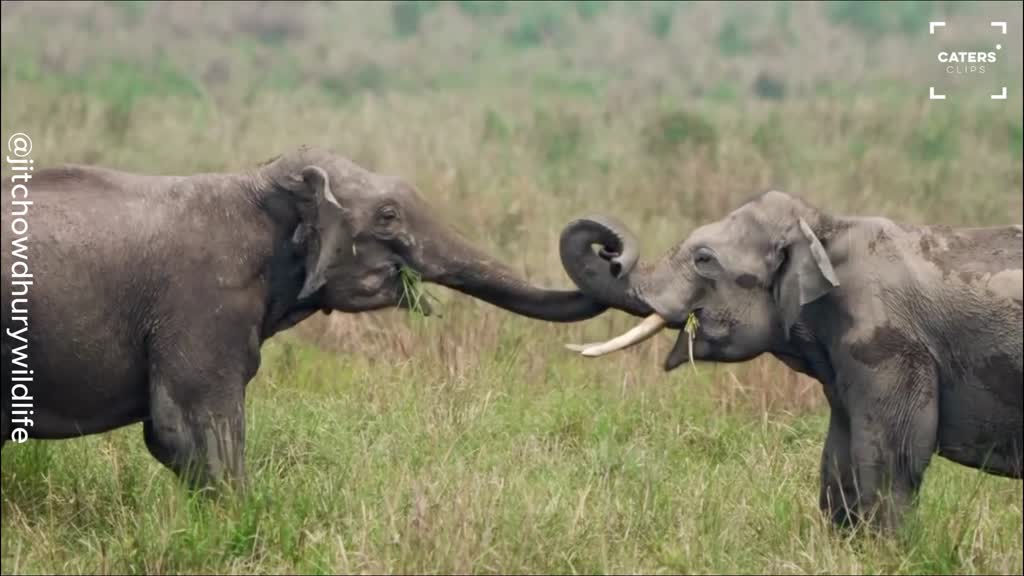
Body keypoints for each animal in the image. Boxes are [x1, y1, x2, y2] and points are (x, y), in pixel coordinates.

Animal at [559, 190, 1022, 530]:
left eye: (703, 259)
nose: (611, 253)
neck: (825, 227)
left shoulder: (890, 344)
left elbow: (895, 457)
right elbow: (838, 459)